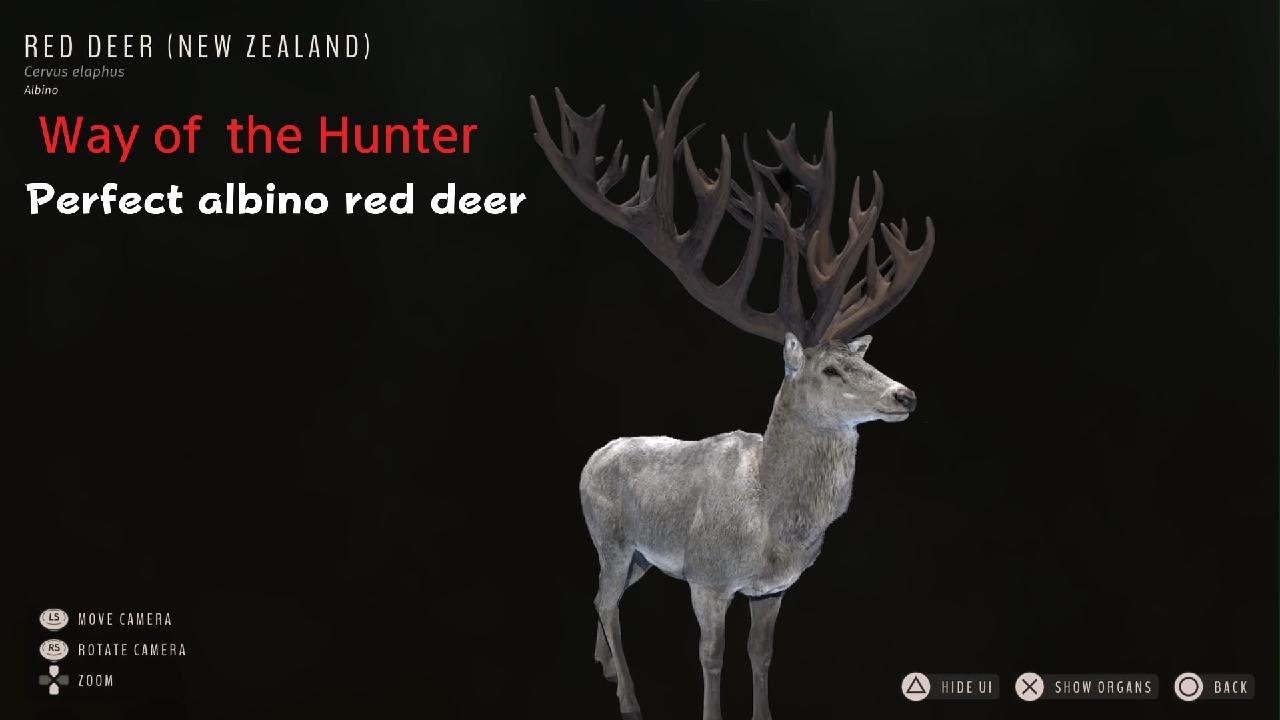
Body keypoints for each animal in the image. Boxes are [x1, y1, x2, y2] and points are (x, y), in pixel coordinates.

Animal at [531, 74, 935, 720]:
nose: (906, 394)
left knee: (600, 598)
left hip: (641, 556)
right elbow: (712, 657)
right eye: (830, 369)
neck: (772, 522)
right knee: (607, 600)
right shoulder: (708, 576)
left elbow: (761, 655)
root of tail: (595, 455)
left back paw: (607, 671)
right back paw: (629, 700)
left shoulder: (772, 590)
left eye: (864, 358)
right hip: (610, 535)